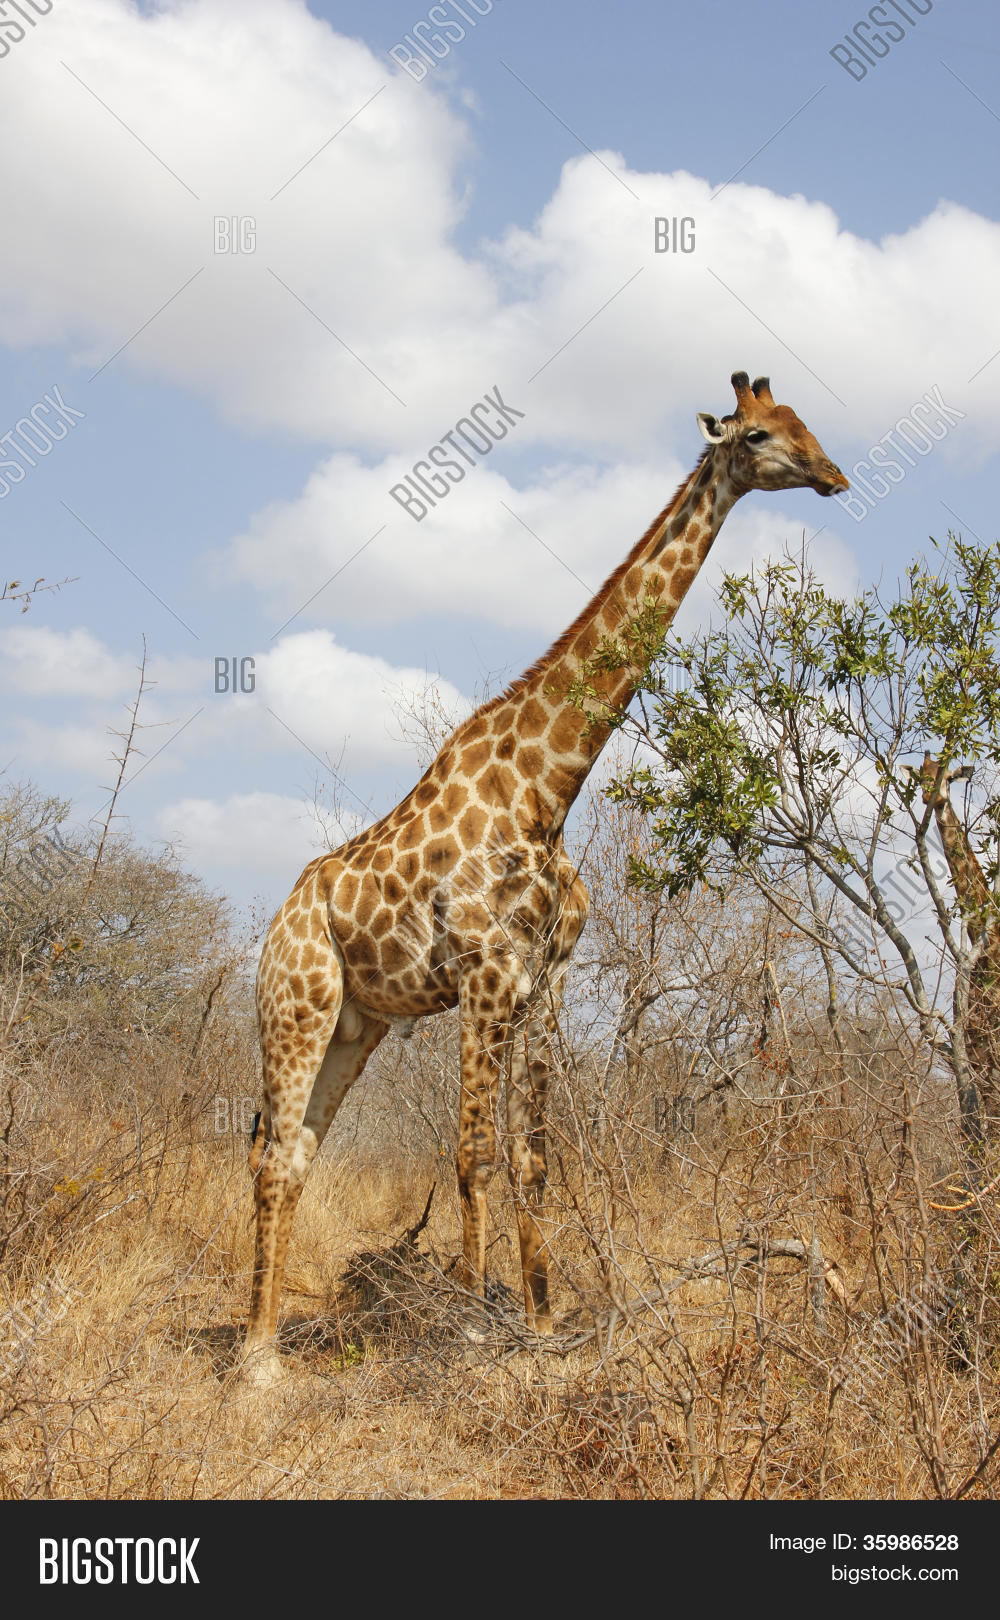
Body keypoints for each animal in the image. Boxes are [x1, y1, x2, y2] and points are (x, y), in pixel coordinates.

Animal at [242, 370, 847, 1379]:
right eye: (760, 435)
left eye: (809, 422)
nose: (834, 475)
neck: (546, 788)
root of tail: (277, 926)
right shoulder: (484, 976)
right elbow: (472, 1155)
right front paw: (472, 1323)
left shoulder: (545, 983)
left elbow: (532, 1157)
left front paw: (541, 1319)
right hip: (297, 1007)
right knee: (272, 1155)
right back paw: (252, 1355)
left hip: (357, 1025)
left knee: (295, 1157)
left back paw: (268, 1342)